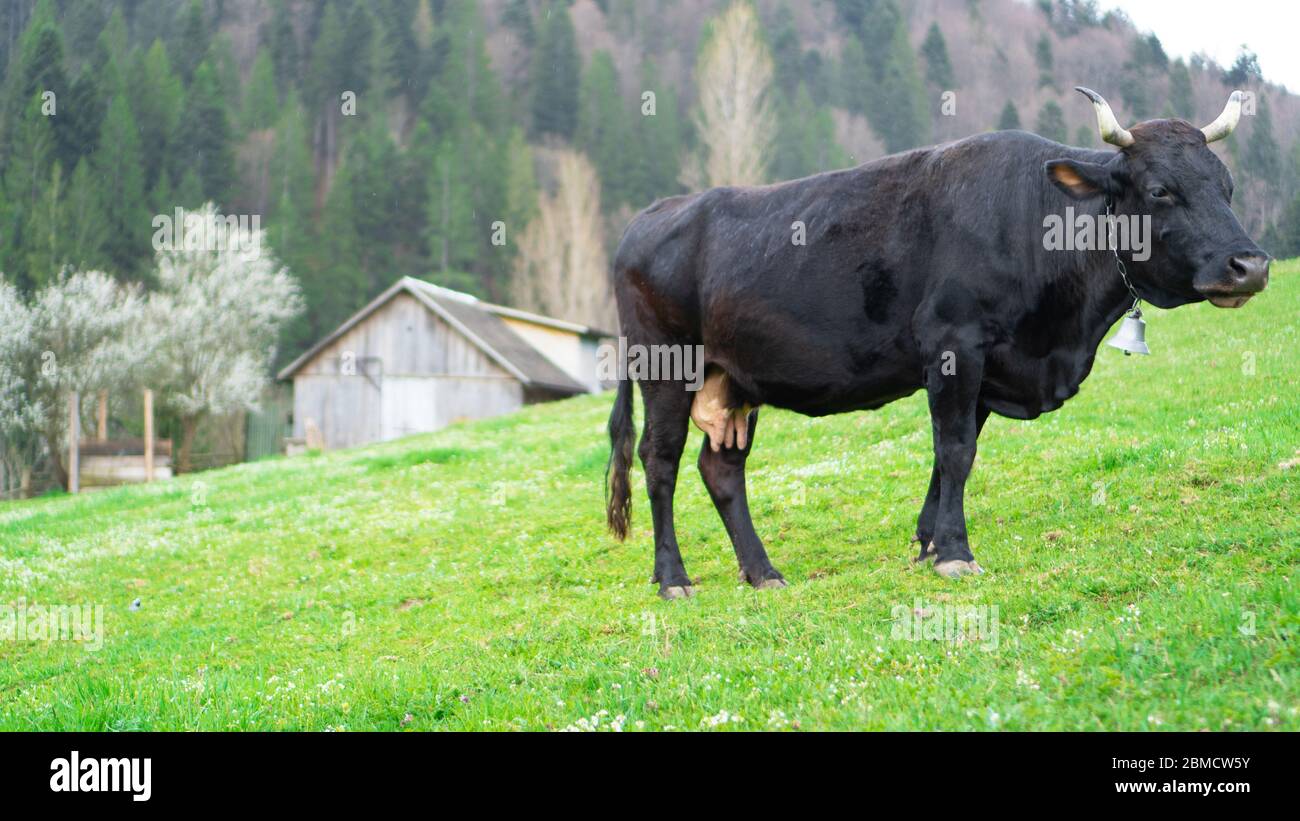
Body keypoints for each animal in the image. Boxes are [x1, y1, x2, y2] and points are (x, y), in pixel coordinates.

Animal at [605, 88, 1270, 599]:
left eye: (1228, 186)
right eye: (1160, 190)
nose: (1250, 265)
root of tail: (649, 217)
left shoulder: (990, 366)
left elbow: (949, 453)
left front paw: (927, 544)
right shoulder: (956, 344)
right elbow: (955, 451)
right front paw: (954, 552)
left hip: (734, 380)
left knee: (721, 468)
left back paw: (762, 572)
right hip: (665, 366)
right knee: (659, 463)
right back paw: (673, 579)